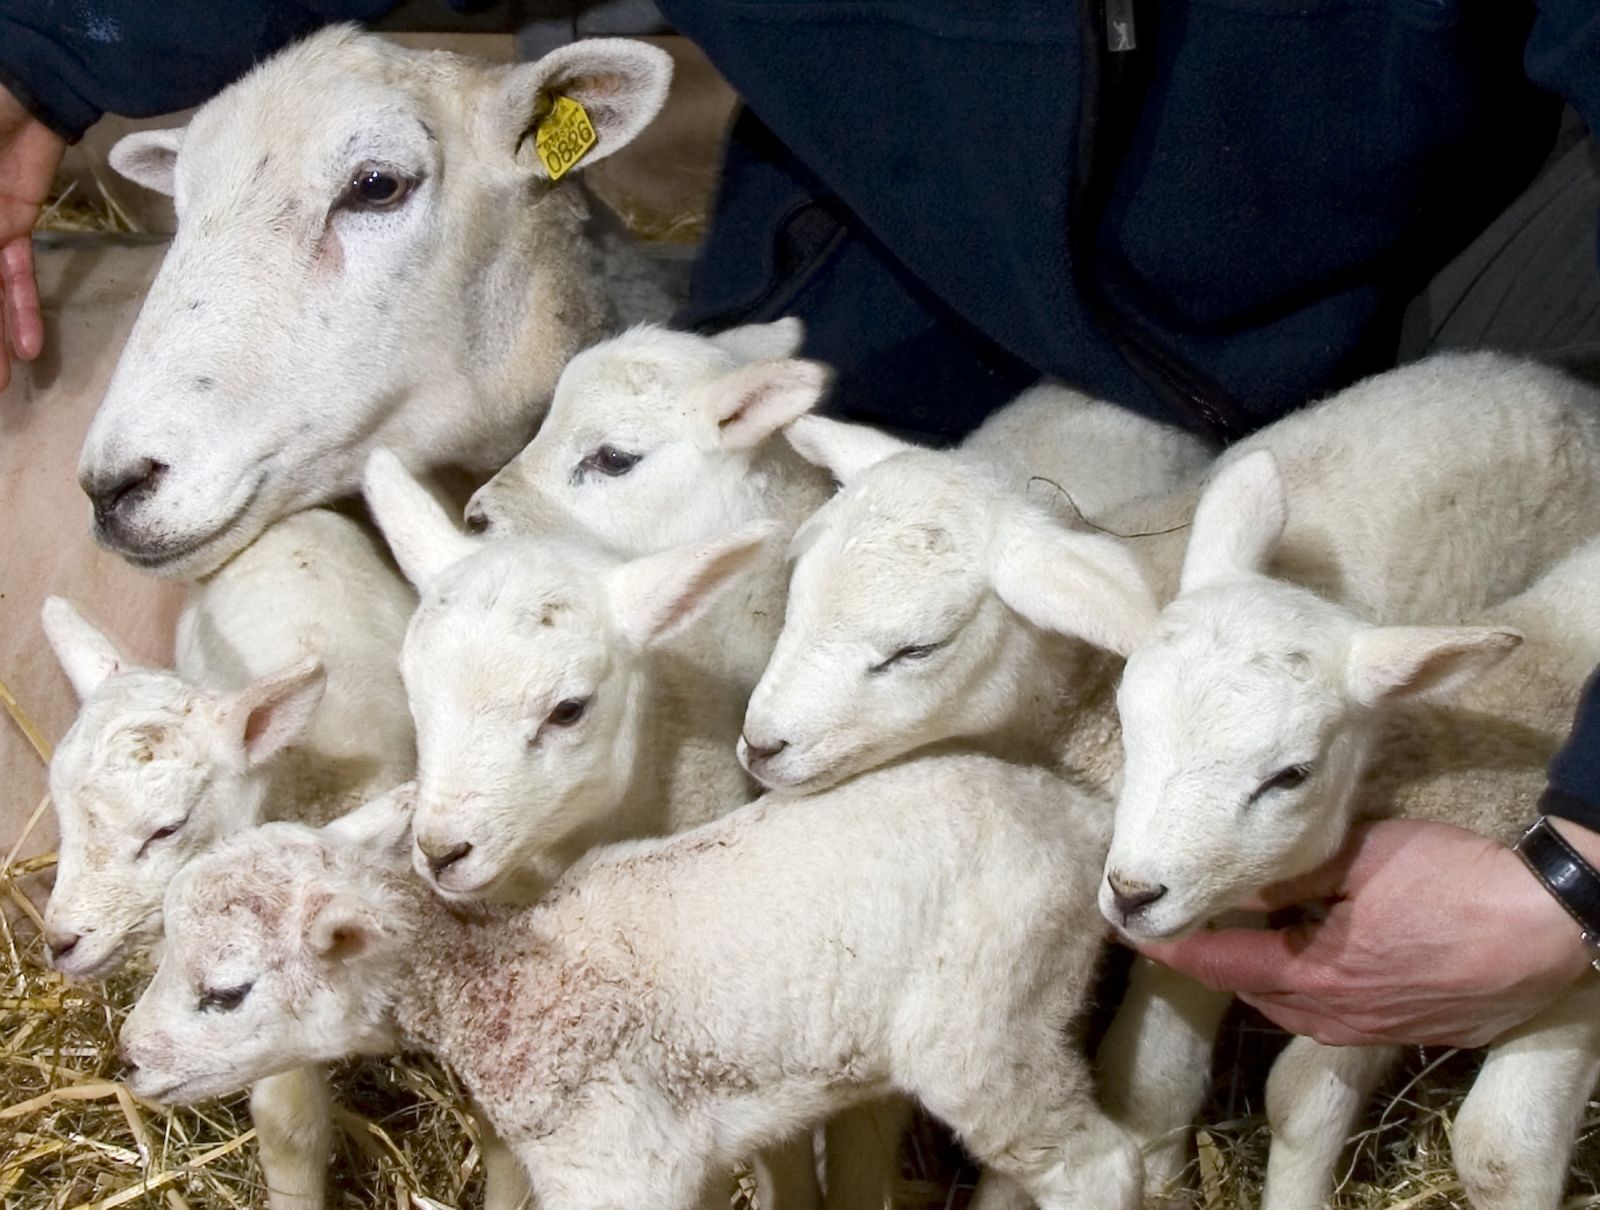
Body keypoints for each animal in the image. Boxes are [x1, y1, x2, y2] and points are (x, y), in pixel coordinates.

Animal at [119, 755, 1142, 1210]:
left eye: (224, 992)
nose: (127, 1059)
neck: (506, 978)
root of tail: (1084, 821)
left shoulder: (616, 1164)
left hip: (991, 1016)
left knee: (1100, 1164)